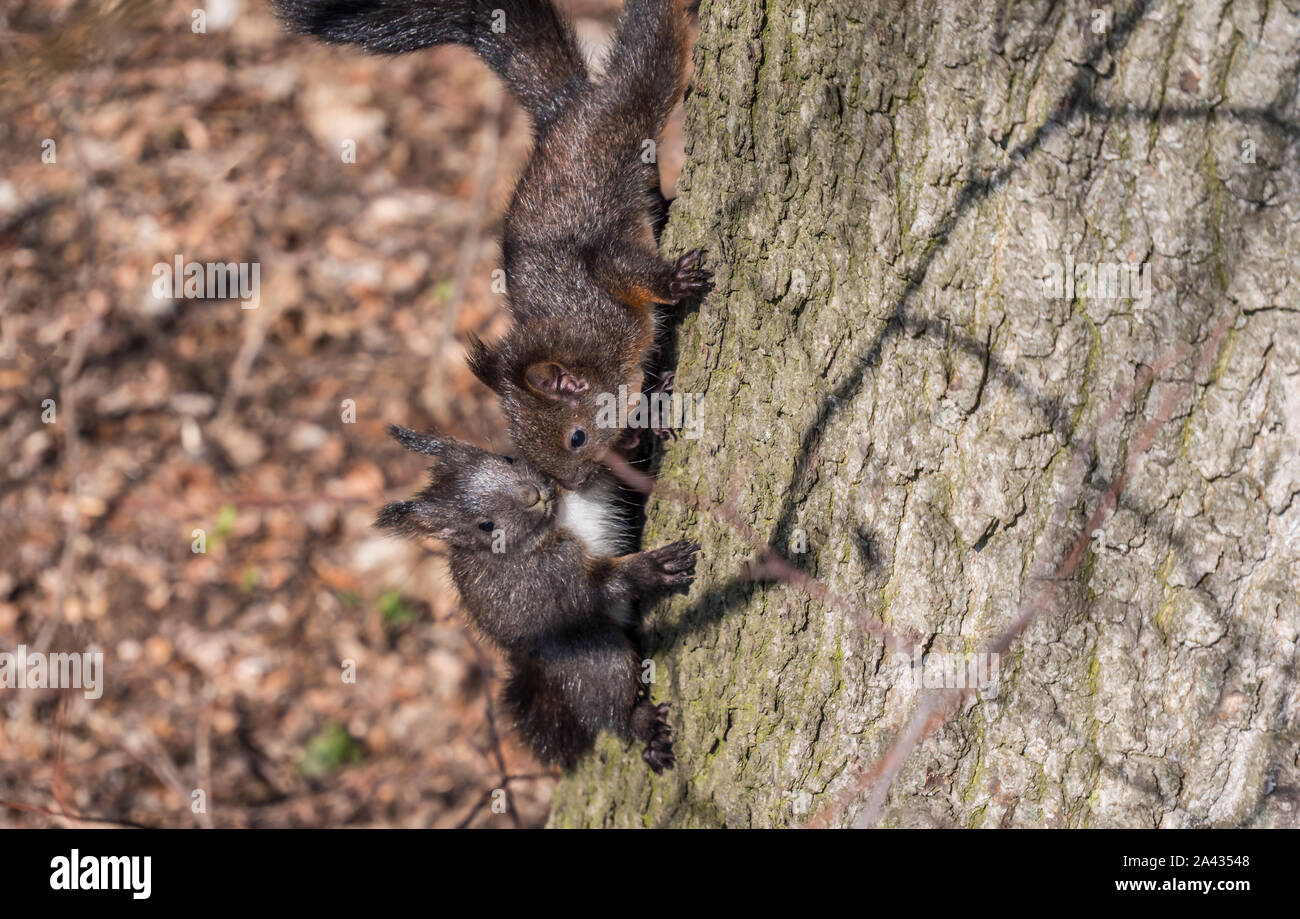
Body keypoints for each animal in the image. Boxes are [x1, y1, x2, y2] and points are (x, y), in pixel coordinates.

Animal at [273, 0, 713, 491]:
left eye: (576, 437)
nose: (575, 484)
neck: (583, 341)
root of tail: (571, 108)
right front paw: (643, 421)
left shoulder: (603, 291)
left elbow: (623, 269)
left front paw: (674, 284)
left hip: (633, 107)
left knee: (652, 51)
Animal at [376, 425, 699, 771]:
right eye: (485, 525)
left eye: (507, 458)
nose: (532, 495)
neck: (553, 519)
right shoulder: (545, 578)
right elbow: (597, 588)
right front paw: (654, 567)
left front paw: (643, 429)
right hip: (593, 653)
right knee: (610, 706)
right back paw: (644, 726)